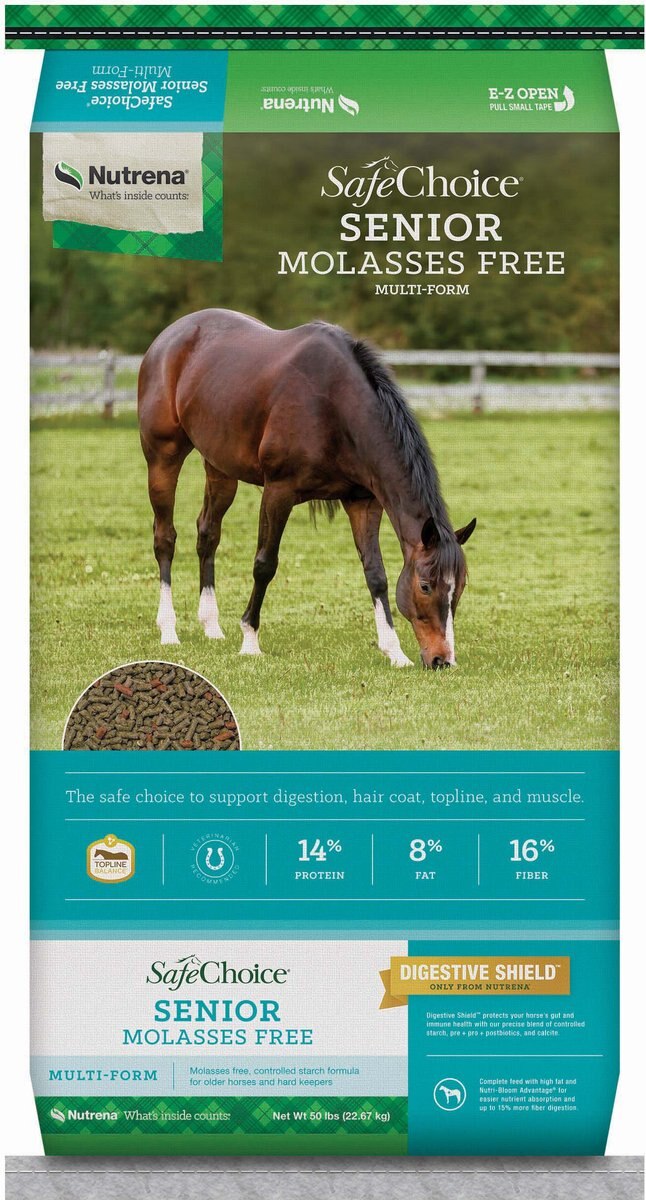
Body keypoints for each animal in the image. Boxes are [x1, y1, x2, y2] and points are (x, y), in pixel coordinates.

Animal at [138, 309, 476, 669]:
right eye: (425, 586)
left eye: (460, 587)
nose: (442, 659)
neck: (334, 406)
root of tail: (169, 336)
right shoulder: (278, 492)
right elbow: (264, 564)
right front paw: (250, 640)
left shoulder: (363, 502)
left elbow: (376, 574)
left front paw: (395, 652)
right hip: (163, 458)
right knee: (165, 538)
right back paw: (169, 630)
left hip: (220, 468)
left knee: (208, 534)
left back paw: (211, 626)